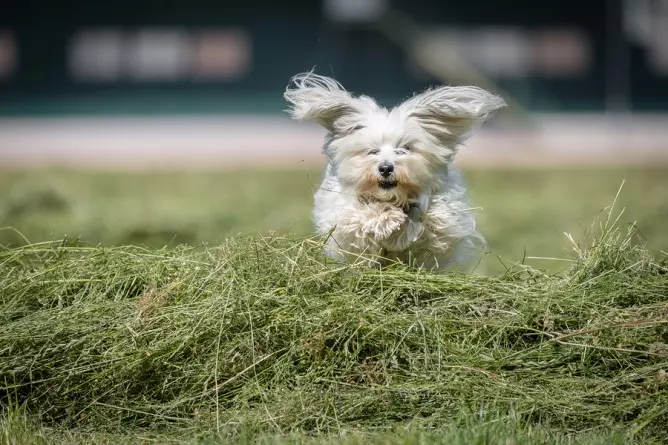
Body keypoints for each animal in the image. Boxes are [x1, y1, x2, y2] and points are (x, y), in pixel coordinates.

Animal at [284, 72, 506, 270]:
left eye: (405, 148)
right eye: (372, 150)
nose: (385, 167)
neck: (391, 197)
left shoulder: (444, 220)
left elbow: (429, 225)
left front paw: (403, 223)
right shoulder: (343, 218)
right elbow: (358, 219)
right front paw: (387, 218)